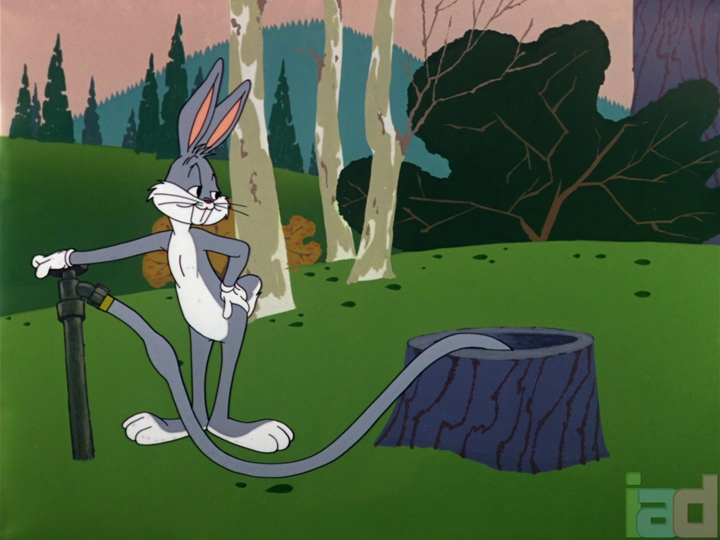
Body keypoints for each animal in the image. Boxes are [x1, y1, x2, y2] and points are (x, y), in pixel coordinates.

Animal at [32, 58, 512, 477]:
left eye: (213, 188)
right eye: (196, 186)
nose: (213, 203)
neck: (184, 235)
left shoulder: (207, 243)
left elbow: (240, 252)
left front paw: (232, 290)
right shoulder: (163, 239)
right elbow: (115, 251)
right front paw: (56, 260)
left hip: (228, 329)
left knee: (225, 360)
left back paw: (238, 430)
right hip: (198, 331)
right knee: (193, 372)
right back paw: (175, 426)